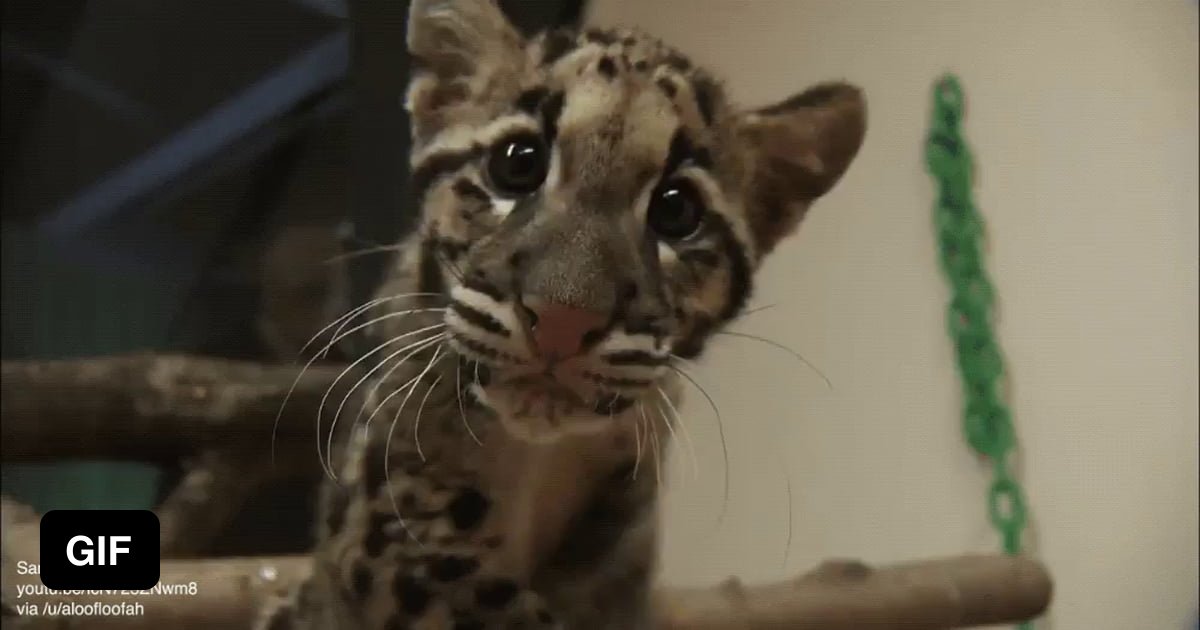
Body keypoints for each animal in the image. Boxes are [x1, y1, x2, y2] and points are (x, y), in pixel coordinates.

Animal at [256, 1, 866, 628]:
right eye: (516, 165)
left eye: (678, 211)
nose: (561, 321)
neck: (535, 457)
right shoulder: (381, 534)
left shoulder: (622, 534)